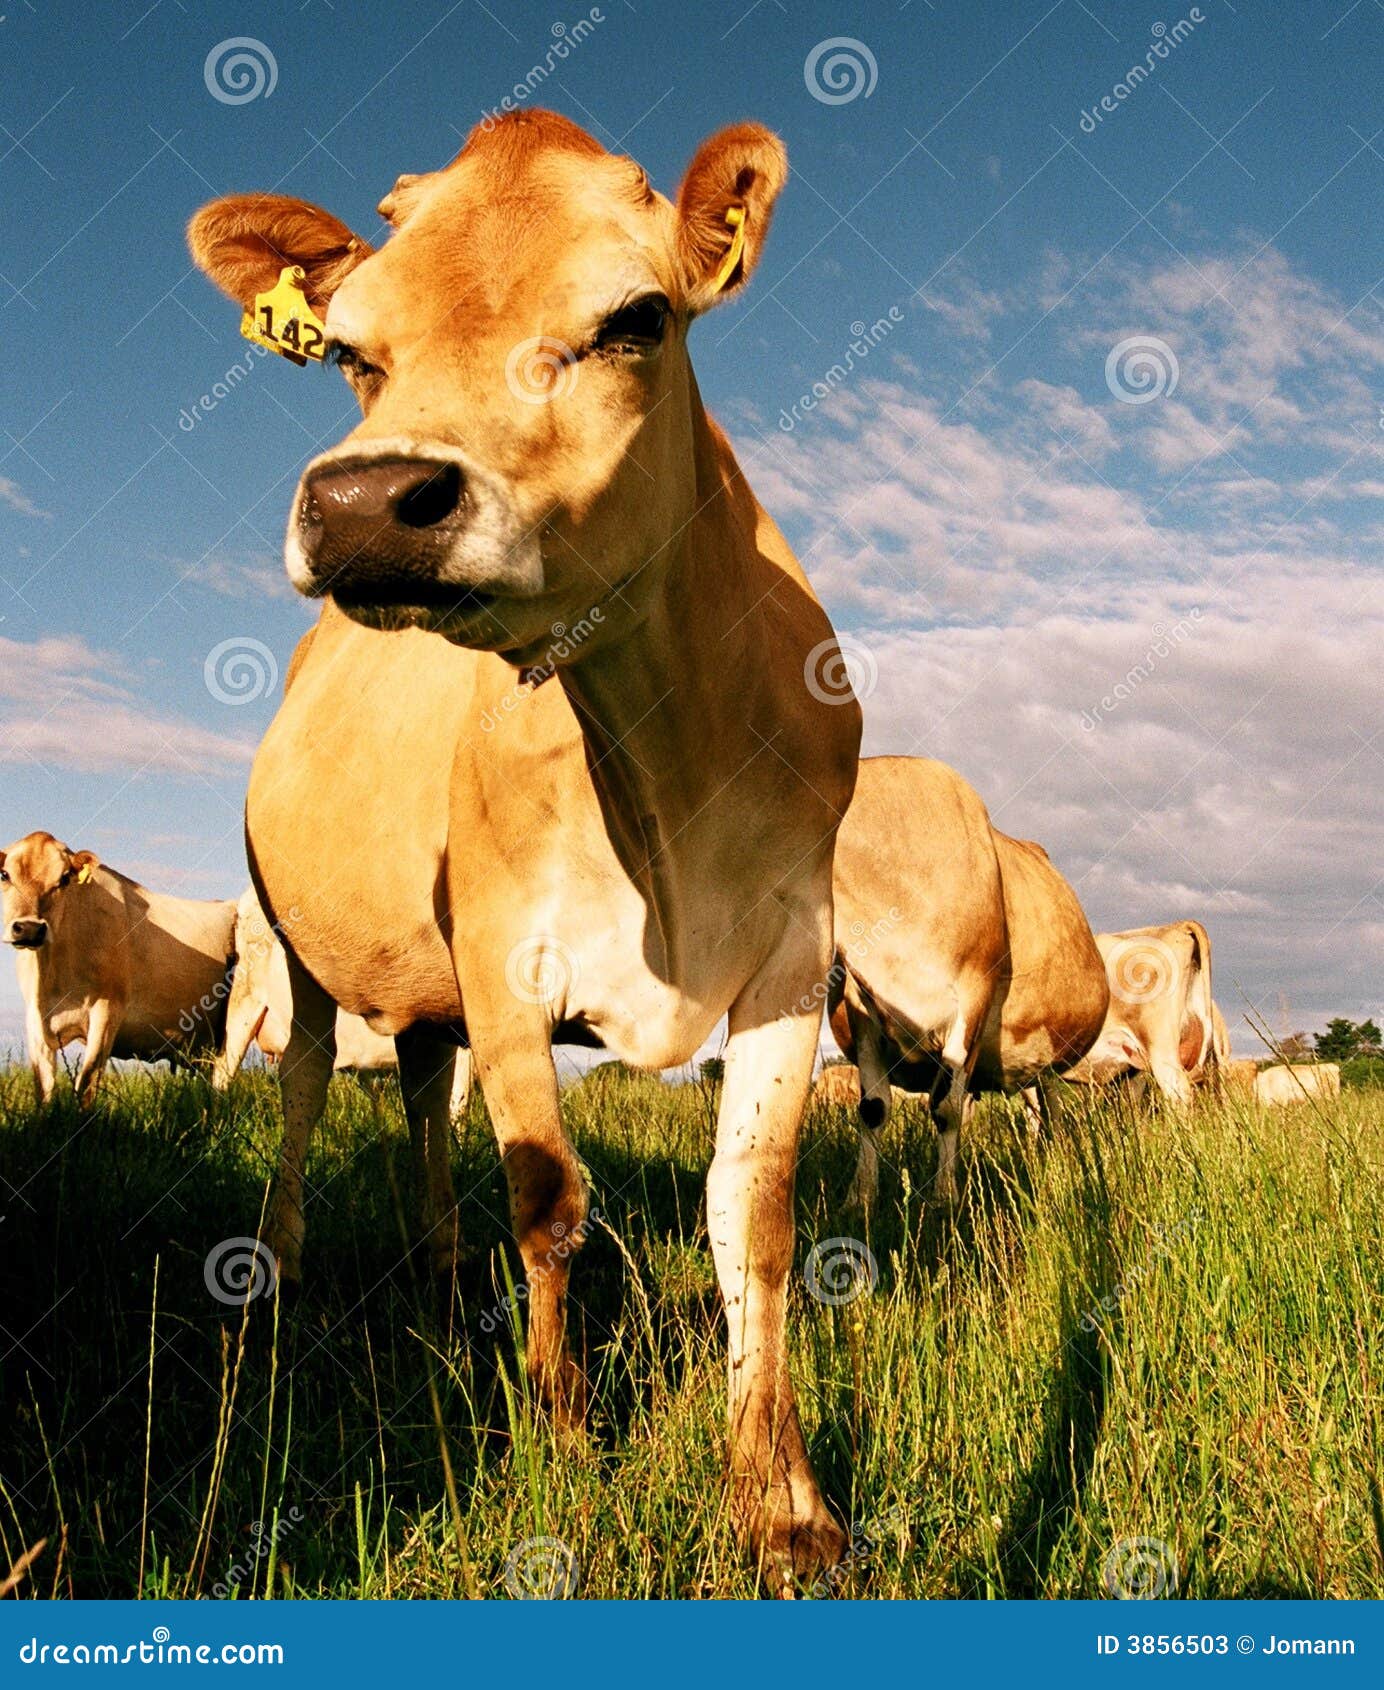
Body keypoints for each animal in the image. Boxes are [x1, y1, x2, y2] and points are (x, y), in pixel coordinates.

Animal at [0, 831, 236, 1106]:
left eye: (65, 878)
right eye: (4, 874)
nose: (29, 928)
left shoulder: (108, 1009)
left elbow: (87, 1079)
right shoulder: (36, 1018)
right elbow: (44, 1089)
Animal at [827, 758, 1109, 1207]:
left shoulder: (973, 996)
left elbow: (946, 1107)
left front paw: (945, 1197)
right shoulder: (861, 1004)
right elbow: (873, 1109)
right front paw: (861, 1198)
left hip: (1052, 1050)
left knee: (1051, 1110)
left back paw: (1054, 1165)